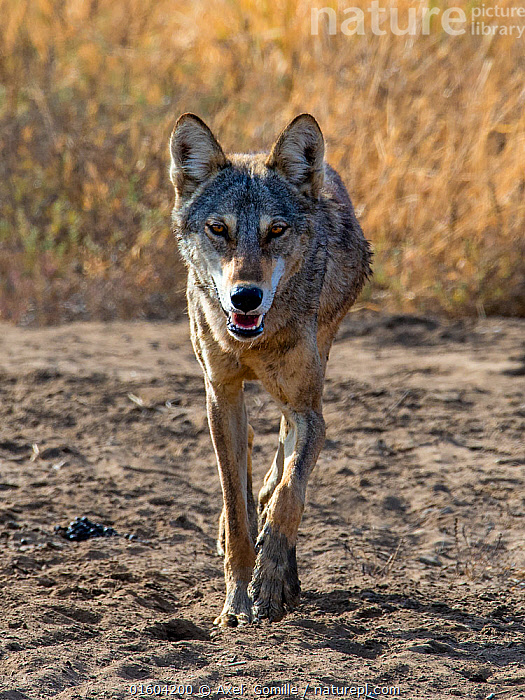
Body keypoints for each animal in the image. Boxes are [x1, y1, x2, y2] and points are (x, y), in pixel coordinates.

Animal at [169, 113, 371, 626]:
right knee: (247, 462)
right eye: (218, 229)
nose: (245, 297)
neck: (255, 340)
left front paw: (272, 580)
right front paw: (237, 600)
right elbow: (237, 507)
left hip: (312, 370)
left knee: (277, 467)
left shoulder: (309, 411)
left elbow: (288, 495)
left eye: (276, 230)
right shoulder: (220, 394)